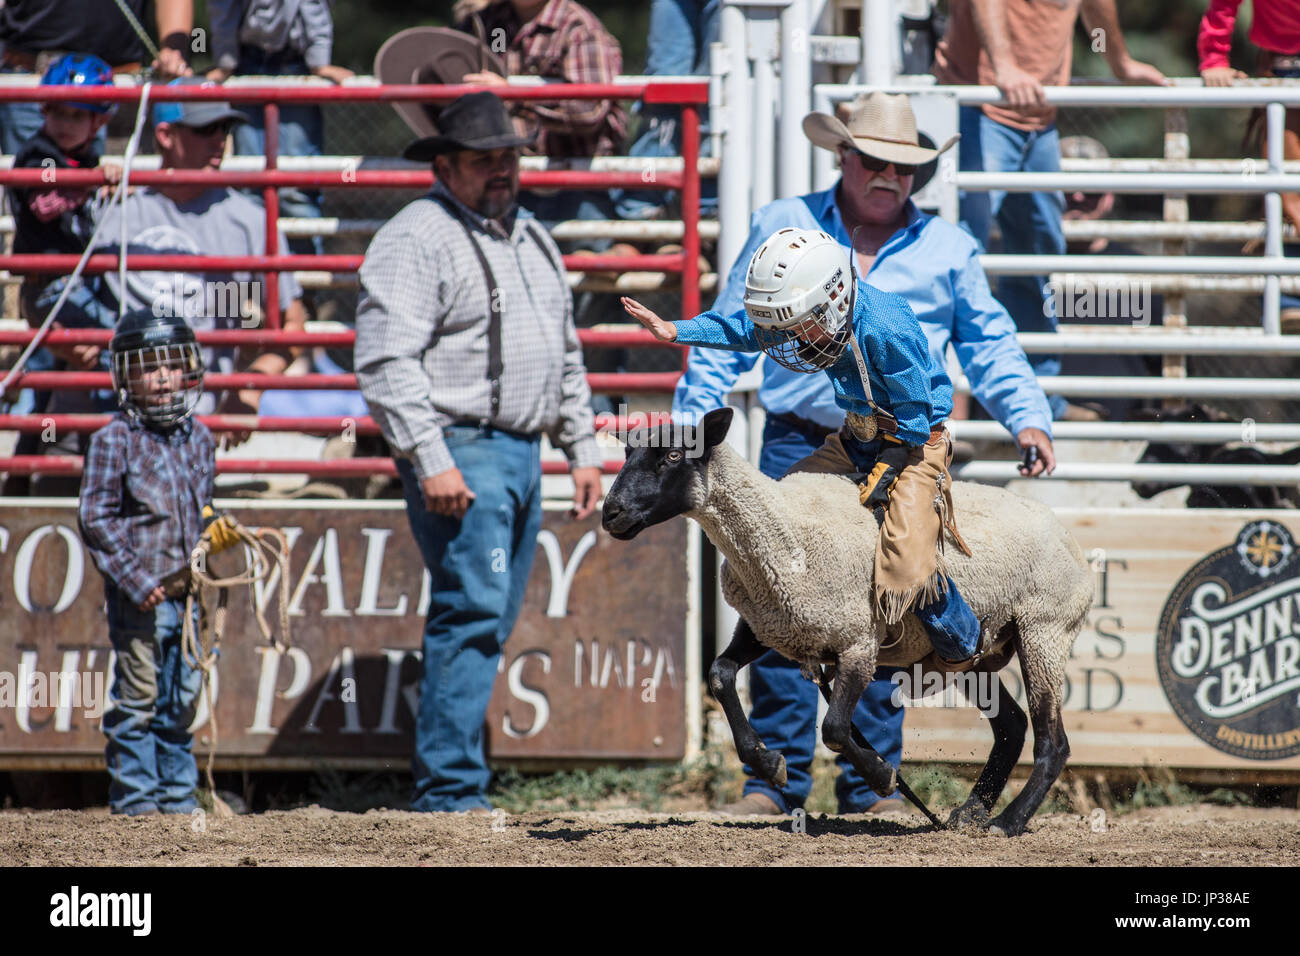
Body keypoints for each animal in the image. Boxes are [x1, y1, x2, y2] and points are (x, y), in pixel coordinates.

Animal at [602, 408, 1094, 836]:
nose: (611, 513)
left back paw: (1006, 822)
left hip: (1044, 630)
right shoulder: (769, 626)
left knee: (1053, 742)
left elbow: (835, 729)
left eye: (672, 456)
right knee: (1012, 727)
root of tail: (1072, 543)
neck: (782, 533)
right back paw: (969, 814)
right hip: (973, 656)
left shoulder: (860, 642)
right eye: (627, 453)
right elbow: (720, 675)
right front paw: (769, 763)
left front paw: (881, 776)